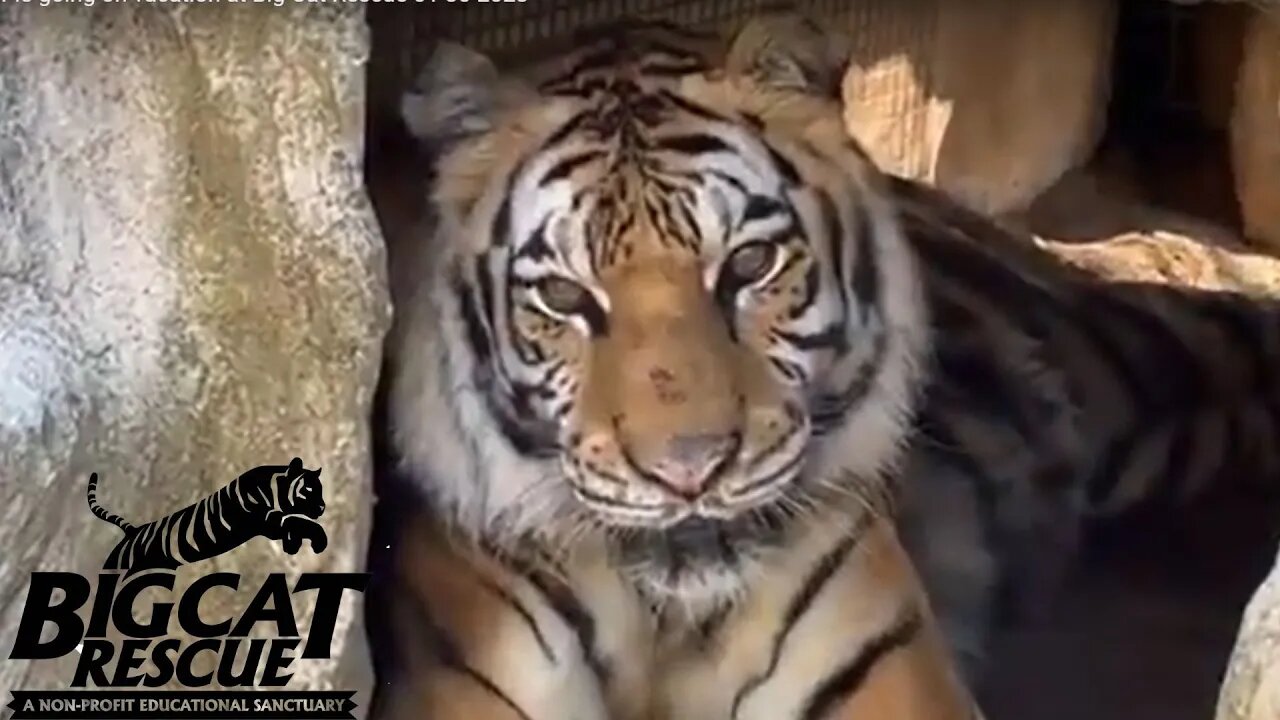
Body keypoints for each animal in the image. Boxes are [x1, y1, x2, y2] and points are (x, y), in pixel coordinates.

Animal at [88, 457, 329, 575]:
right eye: (308, 490)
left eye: (320, 489)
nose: (322, 507)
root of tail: (132, 530)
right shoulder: (267, 519)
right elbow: (300, 522)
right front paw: (318, 542)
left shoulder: (272, 524)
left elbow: (295, 525)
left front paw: (293, 546)